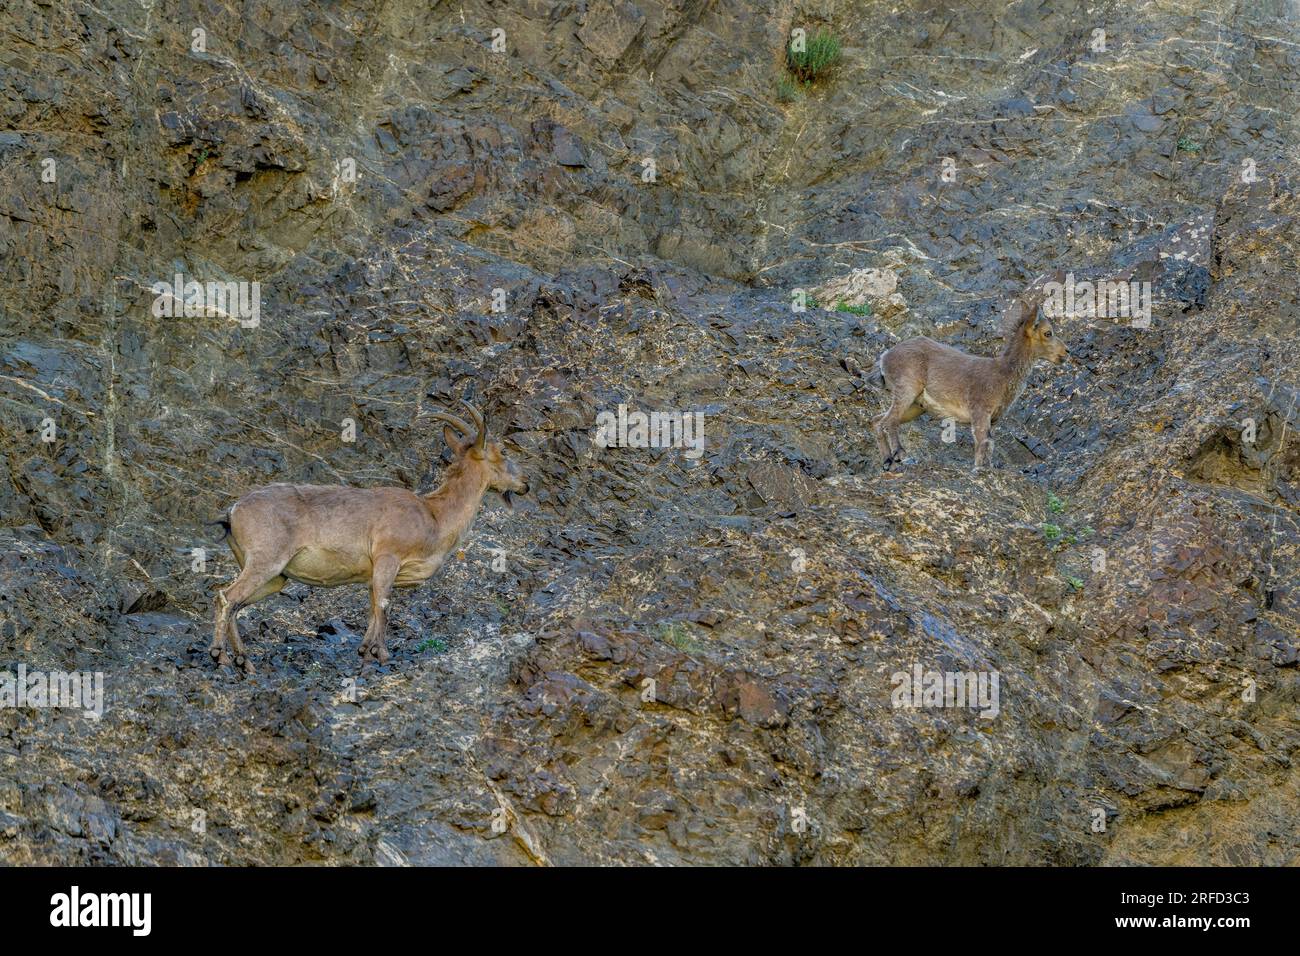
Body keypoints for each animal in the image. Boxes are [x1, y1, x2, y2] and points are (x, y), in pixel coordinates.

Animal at [208, 400, 529, 673]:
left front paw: (365, 652)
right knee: (227, 597)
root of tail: (233, 512)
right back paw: (220, 657)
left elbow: (373, 607)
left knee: (235, 603)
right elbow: (384, 606)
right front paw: (383, 655)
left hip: (276, 576)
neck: (433, 514)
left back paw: (244, 661)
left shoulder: (373, 573)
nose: (525, 483)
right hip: (266, 560)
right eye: (503, 451)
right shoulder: (388, 557)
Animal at [871, 271, 1068, 469]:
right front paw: (980, 470)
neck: (1004, 375)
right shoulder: (980, 412)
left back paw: (887, 460)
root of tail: (885, 358)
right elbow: (982, 448)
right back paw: (899, 454)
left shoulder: (991, 420)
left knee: (877, 421)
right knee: (889, 421)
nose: (1066, 352)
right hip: (907, 390)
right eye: (1048, 333)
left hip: (916, 406)